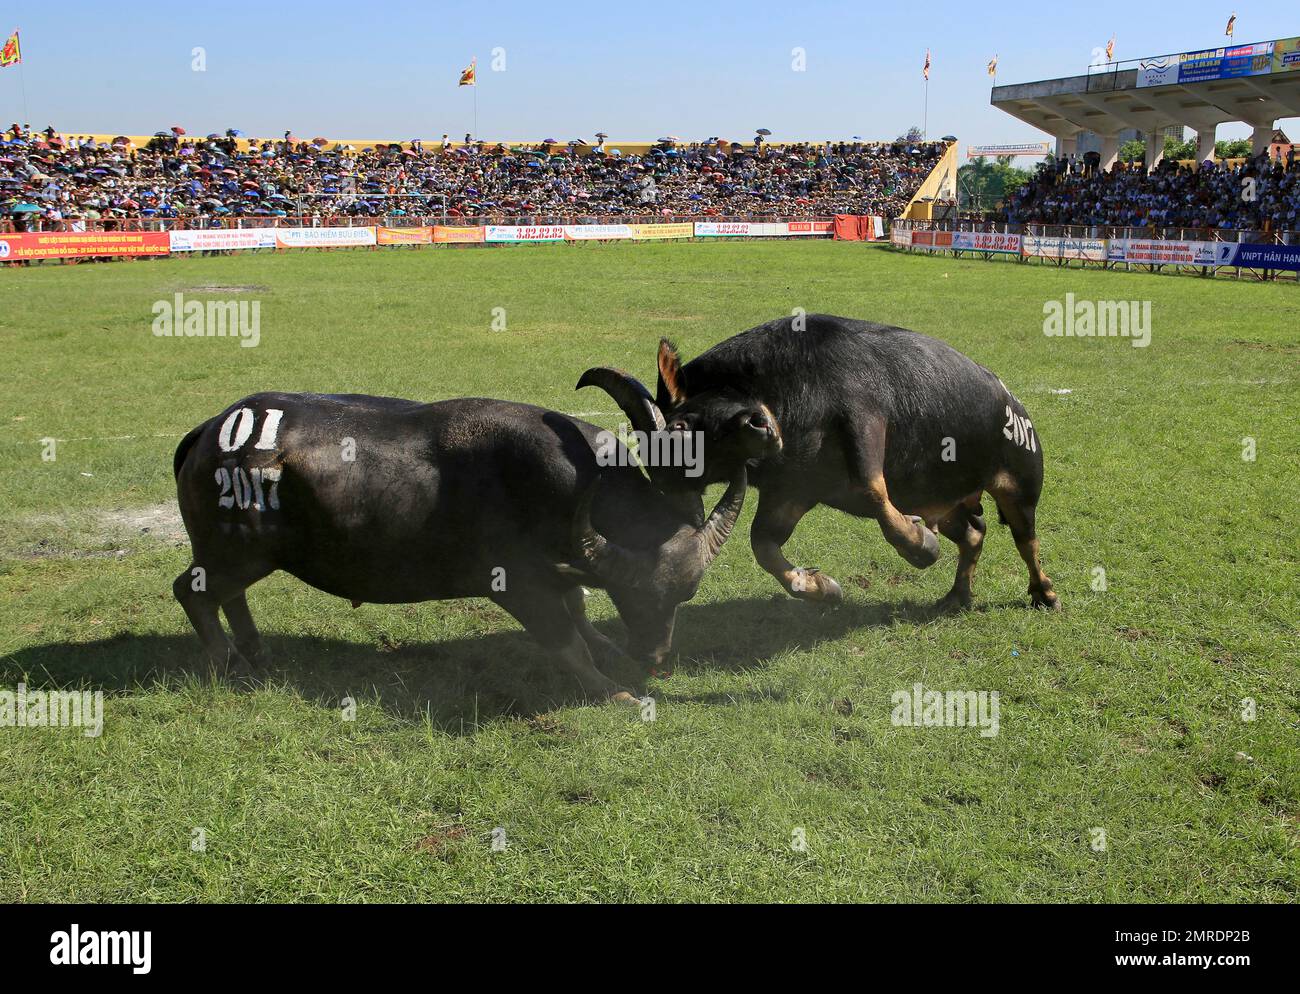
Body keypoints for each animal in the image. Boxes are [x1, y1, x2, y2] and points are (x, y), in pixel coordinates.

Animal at [172, 381, 780, 701]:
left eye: (682, 596)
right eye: (638, 597)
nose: (652, 656)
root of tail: (214, 431)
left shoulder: (562, 572)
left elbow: (580, 610)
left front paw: (611, 651)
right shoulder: (519, 586)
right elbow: (568, 642)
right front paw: (617, 692)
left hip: (245, 557)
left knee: (228, 597)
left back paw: (256, 653)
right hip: (234, 553)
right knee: (193, 591)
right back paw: (227, 664)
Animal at [651, 313, 1059, 611]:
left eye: (680, 425)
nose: (757, 424)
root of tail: (1012, 400)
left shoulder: (864, 418)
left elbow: (872, 489)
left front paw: (920, 546)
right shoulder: (791, 490)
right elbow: (763, 544)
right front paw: (820, 587)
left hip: (1021, 487)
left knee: (1027, 541)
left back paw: (1045, 593)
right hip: (946, 502)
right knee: (975, 533)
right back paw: (957, 596)